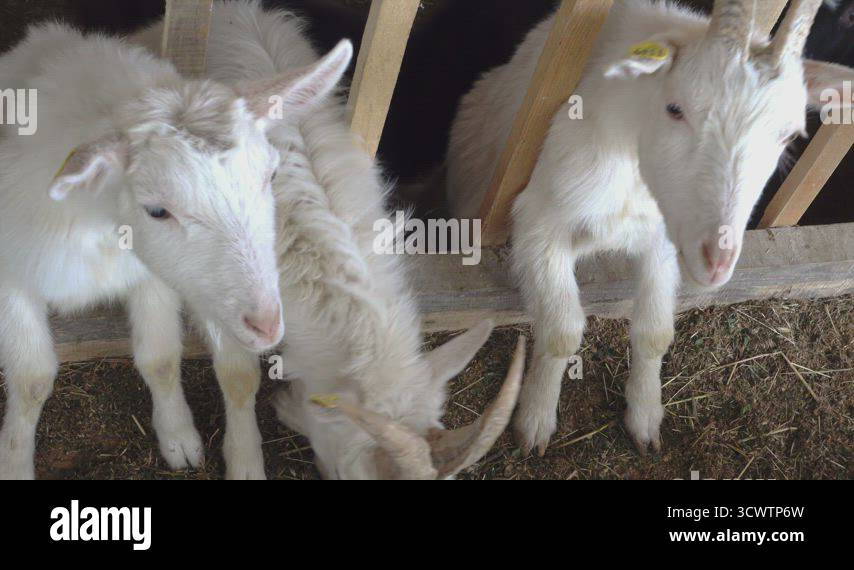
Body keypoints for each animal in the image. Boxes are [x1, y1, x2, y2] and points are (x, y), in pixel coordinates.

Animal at [0, 21, 350, 478]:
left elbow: (161, 357)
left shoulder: (153, 277)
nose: (267, 323)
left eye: (271, 175)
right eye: (157, 210)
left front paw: (179, 437)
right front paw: (14, 462)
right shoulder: (12, 276)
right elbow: (32, 380)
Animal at [447, 0, 854, 455]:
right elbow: (561, 331)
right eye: (675, 108)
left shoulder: (664, 239)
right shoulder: (539, 223)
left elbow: (655, 332)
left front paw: (645, 420)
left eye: (789, 135)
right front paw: (534, 422)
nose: (717, 260)